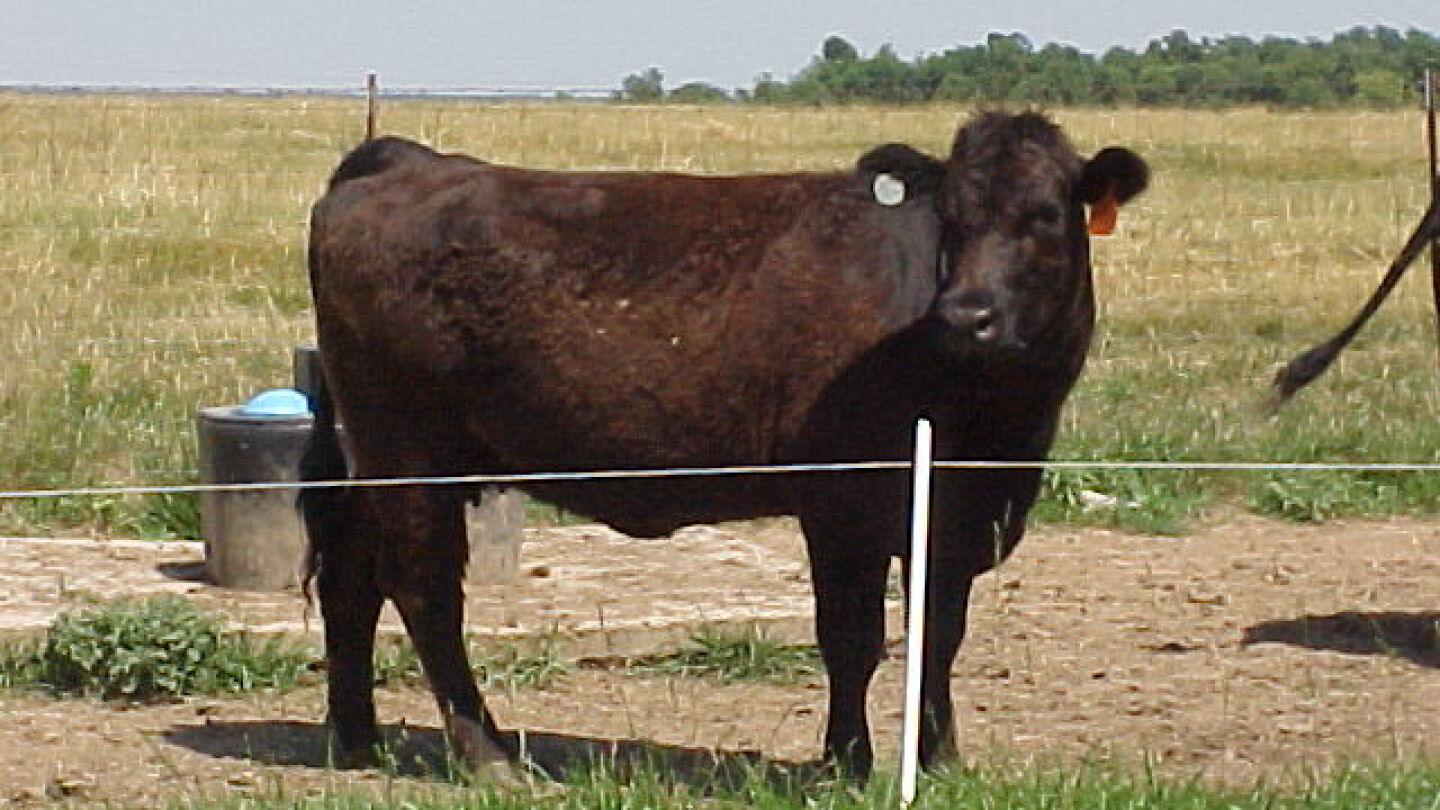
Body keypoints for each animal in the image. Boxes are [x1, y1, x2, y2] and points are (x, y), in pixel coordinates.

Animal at [302, 111, 1148, 783]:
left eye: (1047, 215)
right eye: (952, 219)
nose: (968, 314)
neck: (995, 428)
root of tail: (406, 159)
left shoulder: (956, 514)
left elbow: (938, 637)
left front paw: (938, 761)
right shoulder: (841, 508)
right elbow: (853, 639)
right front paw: (847, 762)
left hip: (375, 455)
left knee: (352, 576)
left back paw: (357, 738)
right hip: (409, 451)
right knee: (424, 590)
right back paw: (488, 755)